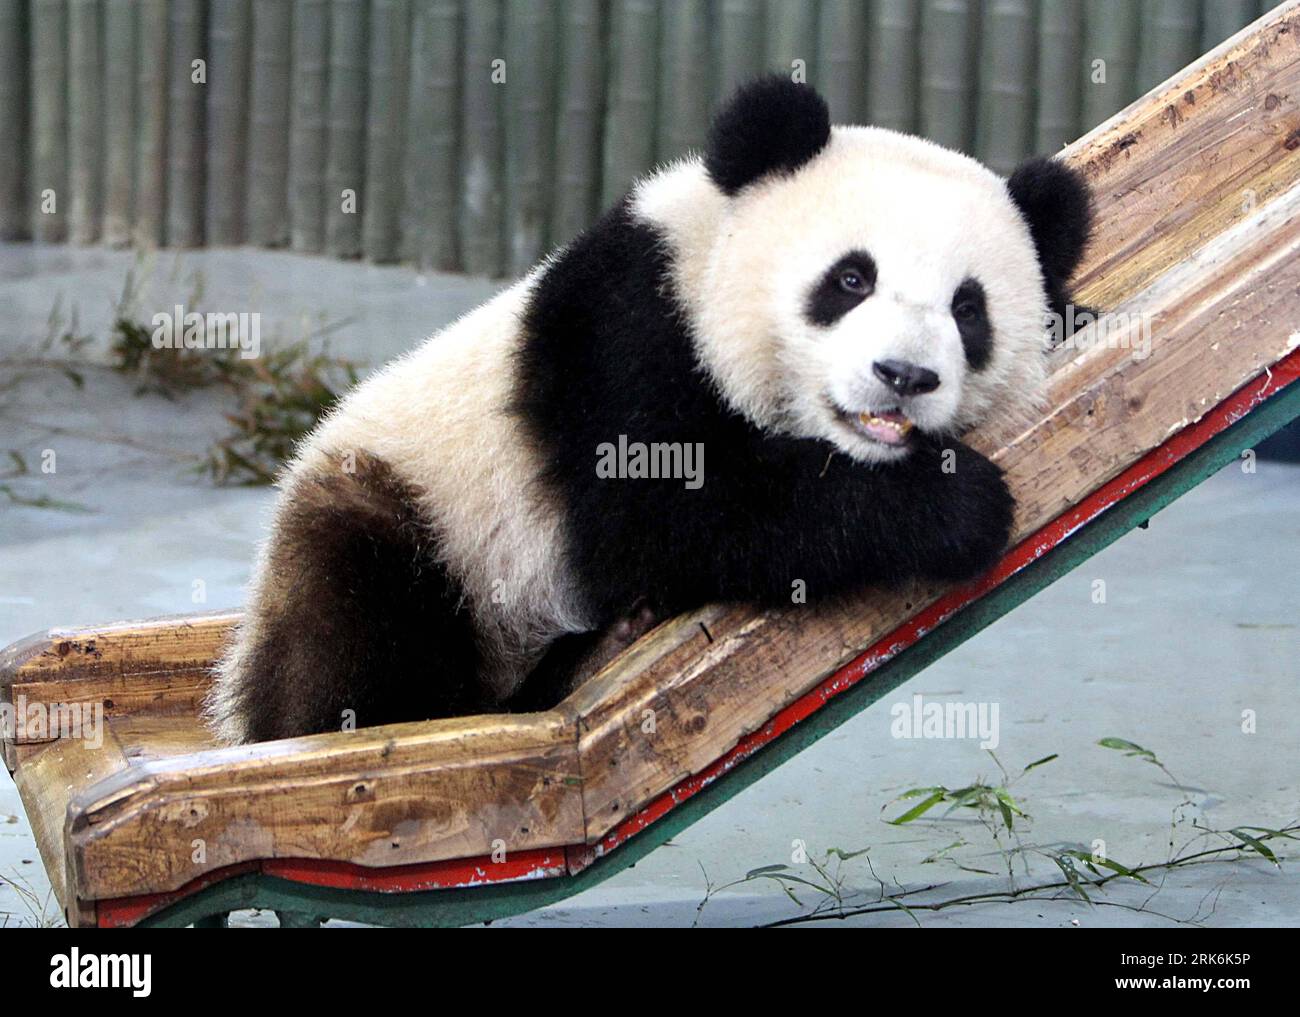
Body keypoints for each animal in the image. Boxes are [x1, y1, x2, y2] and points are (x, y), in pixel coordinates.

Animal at [206, 76, 1092, 744]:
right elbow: (661, 514)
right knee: (355, 630)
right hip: (411, 509)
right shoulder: (625, 328)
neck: (705, 249)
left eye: (969, 309)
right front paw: (953, 504)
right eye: (851, 278)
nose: (903, 375)